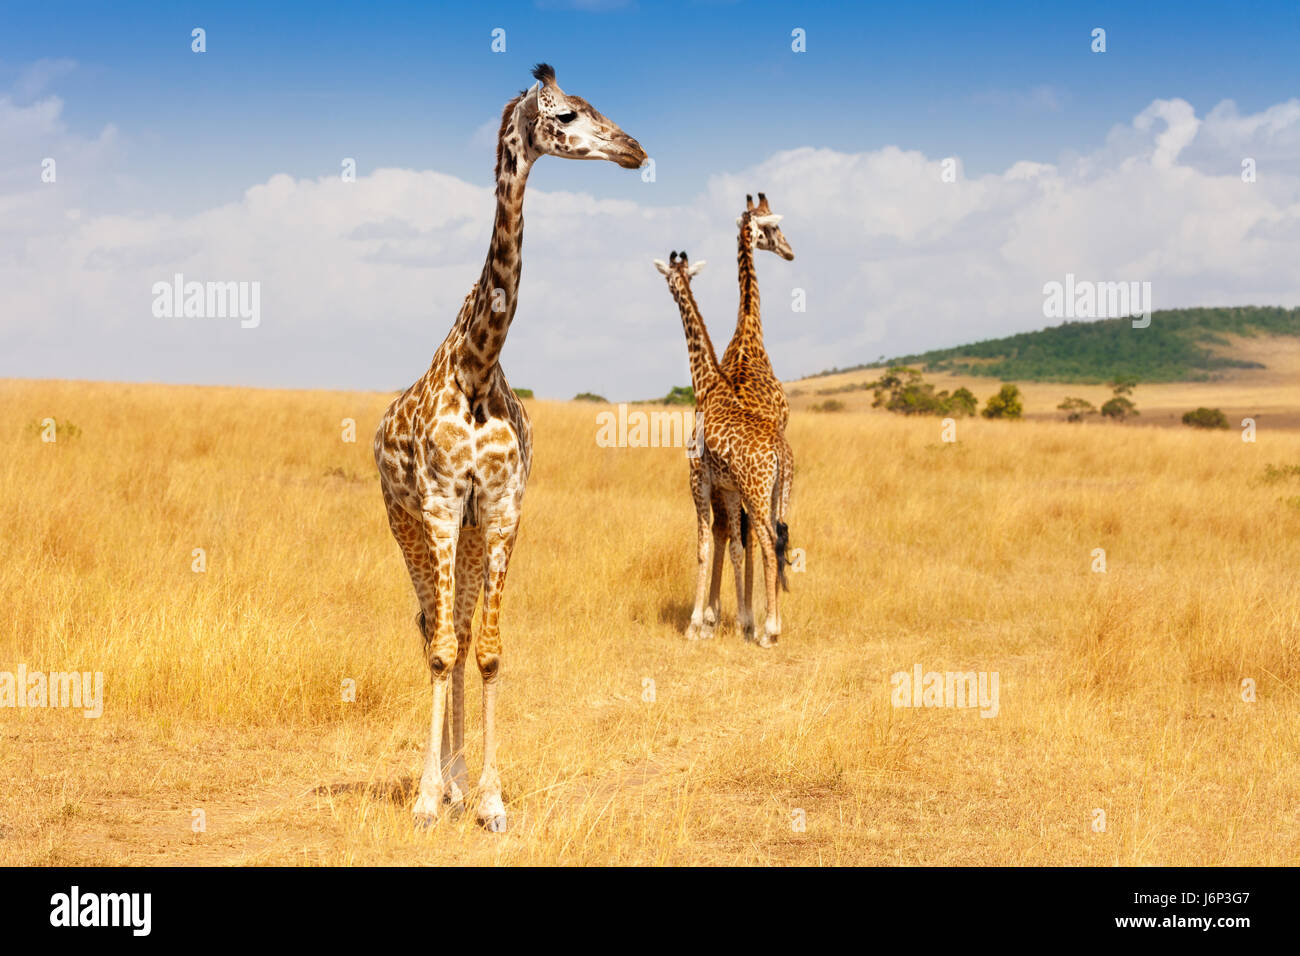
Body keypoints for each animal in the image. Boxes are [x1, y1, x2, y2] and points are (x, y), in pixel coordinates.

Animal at [374, 64, 645, 831]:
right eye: (566, 114)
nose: (634, 150)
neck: (477, 363)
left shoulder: (499, 510)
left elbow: (488, 651)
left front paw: (489, 799)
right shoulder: (439, 508)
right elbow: (440, 649)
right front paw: (427, 800)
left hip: (464, 535)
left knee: (461, 633)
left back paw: (460, 782)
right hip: (405, 524)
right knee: (429, 629)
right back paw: (440, 785)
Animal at [654, 250, 792, 647]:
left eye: (670, 278)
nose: (672, 289)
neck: (707, 385)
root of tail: (780, 449)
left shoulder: (697, 478)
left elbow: (702, 546)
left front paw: (694, 625)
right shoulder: (729, 488)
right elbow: (733, 544)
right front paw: (742, 622)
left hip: (757, 492)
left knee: (768, 541)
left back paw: (770, 631)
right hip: (776, 492)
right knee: (776, 540)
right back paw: (769, 625)